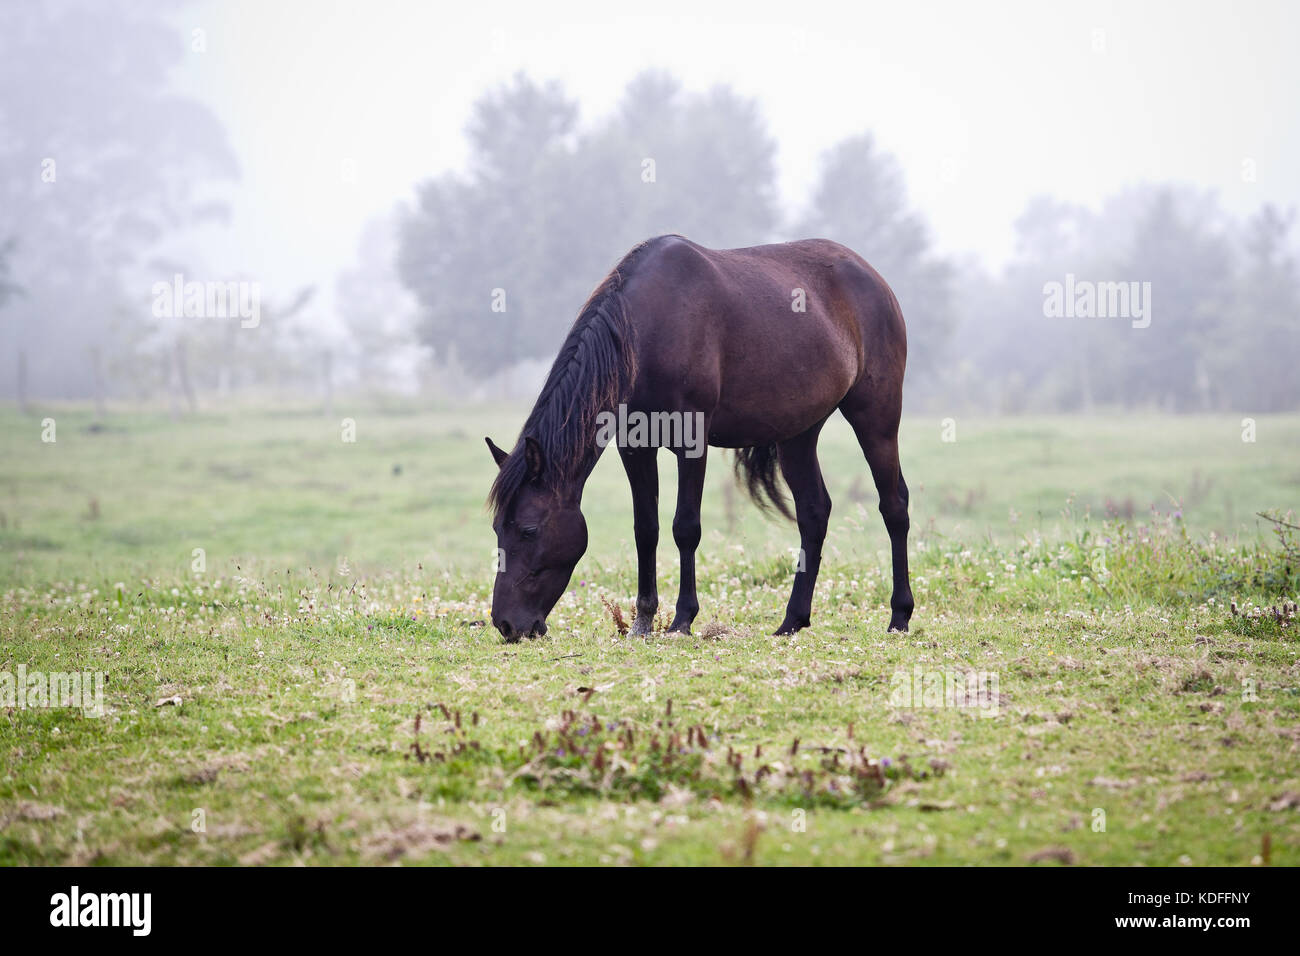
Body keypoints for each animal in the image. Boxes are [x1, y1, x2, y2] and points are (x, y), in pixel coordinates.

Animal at [485, 234, 913, 642]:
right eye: (497, 528)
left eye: (528, 530)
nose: (506, 624)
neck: (648, 326)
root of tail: (874, 279)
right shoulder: (634, 446)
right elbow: (646, 529)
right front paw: (643, 622)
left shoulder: (691, 440)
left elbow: (685, 528)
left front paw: (682, 620)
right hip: (798, 434)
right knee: (814, 512)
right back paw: (792, 621)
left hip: (876, 417)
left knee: (894, 506)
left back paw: (899, 616)